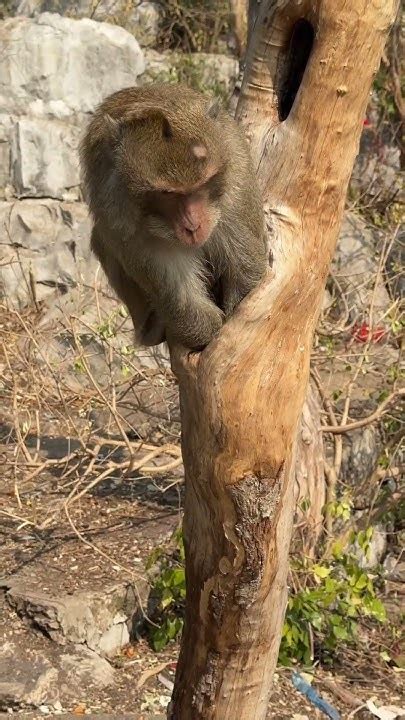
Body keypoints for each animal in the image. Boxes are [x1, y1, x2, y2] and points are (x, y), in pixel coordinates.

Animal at [80, 83, 267, 350]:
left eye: (202, 184)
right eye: (167, 193)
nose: (193, 225)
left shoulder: (234, 195)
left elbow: (246, 273)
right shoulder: (119, 218)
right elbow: (174, 290)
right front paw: (206, 332)